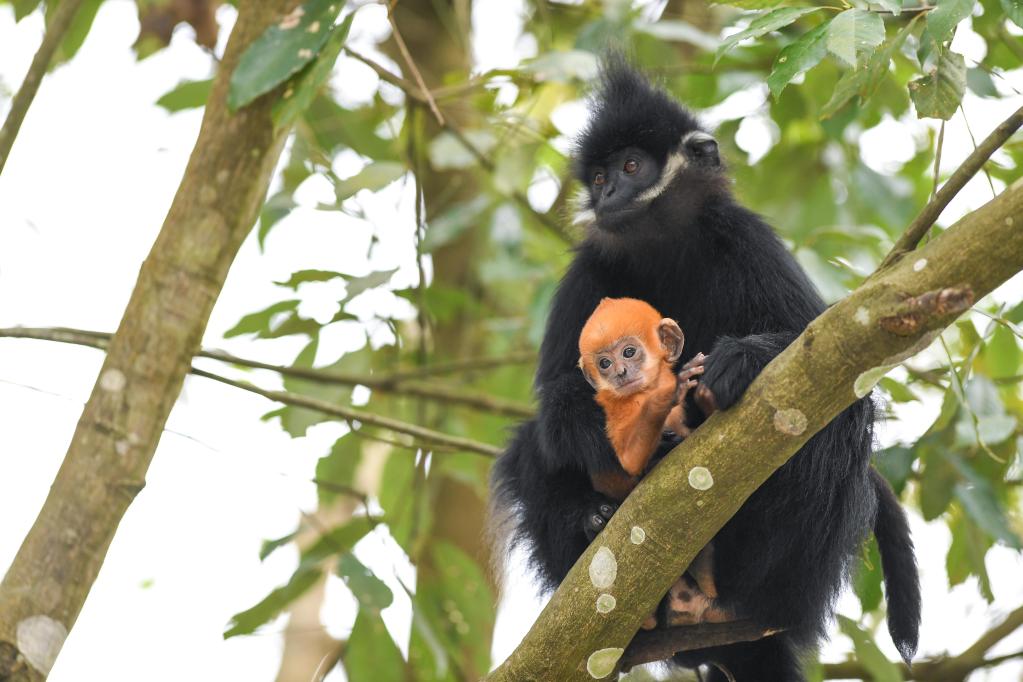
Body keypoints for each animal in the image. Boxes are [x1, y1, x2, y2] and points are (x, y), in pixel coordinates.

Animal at [489, 57, 920, 681]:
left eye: (631, 166)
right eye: (598, 177)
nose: (610, 191)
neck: (666, 249)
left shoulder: (746, 239)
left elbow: (830, 361)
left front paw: (740, 358)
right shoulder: (586, 273)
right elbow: (550, 413)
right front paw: (586, 419)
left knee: (834, 424)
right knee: (528, 447)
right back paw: (599, 531)